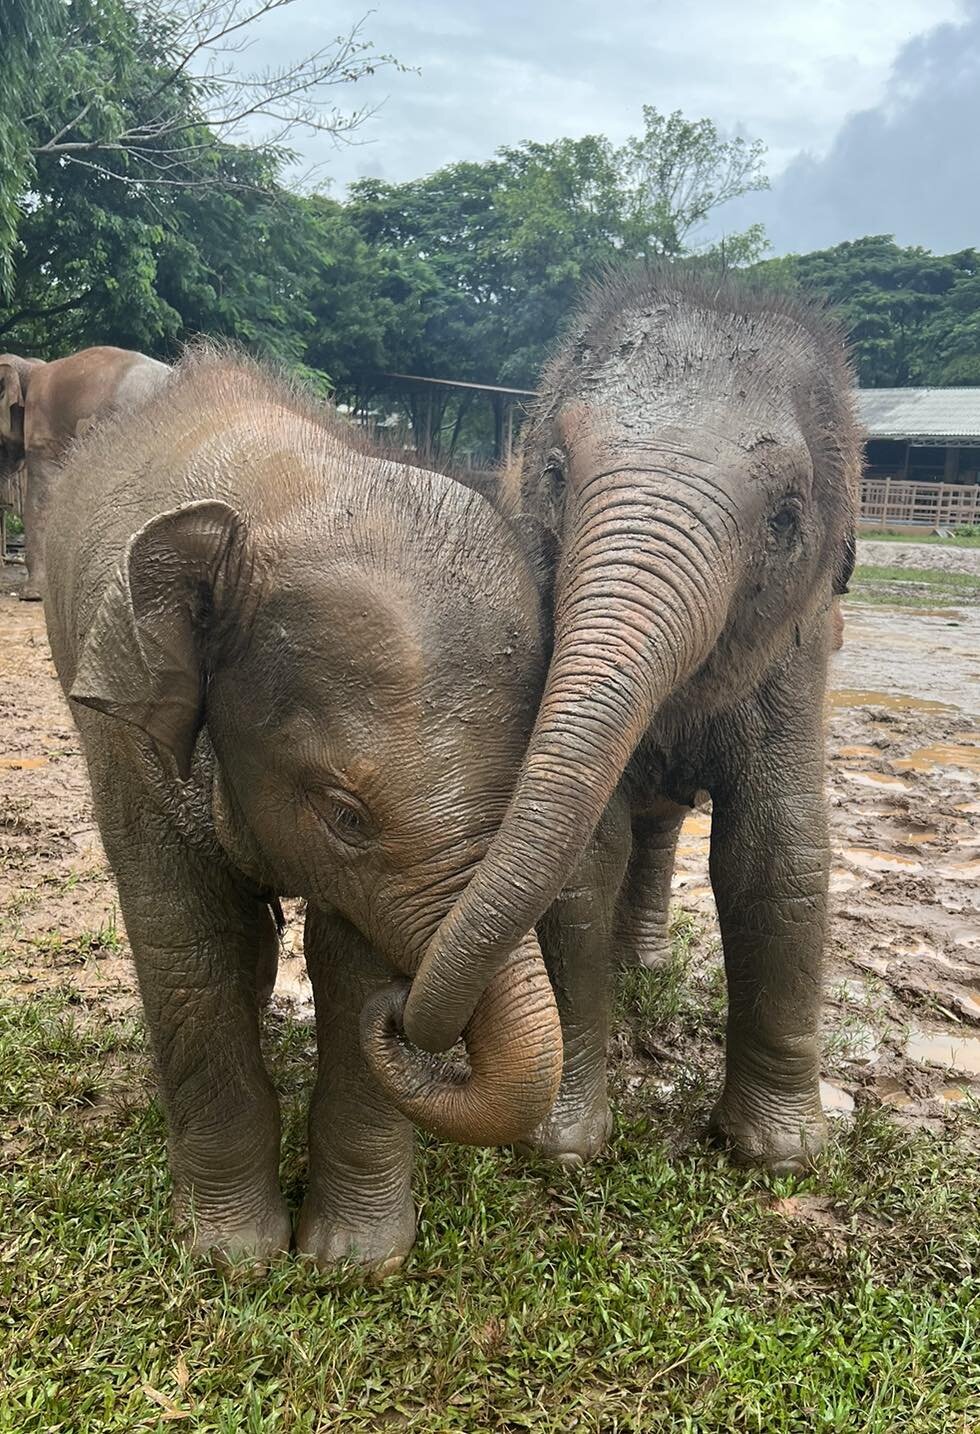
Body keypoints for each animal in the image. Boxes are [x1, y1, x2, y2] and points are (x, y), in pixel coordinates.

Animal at [42, 347, 631, 1271]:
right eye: (344, 815)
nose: (404, 1018)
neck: (288, 484)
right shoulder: (126, 740)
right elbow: (189, 943)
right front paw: (233, 1259)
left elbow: (350, 956)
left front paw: (354, 1266)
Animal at [401, 268, 862, 1175]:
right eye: (553, 471)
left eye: (786, 518)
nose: (404, 1023)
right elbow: (585, 856)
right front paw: (561, 1149)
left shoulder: (796, 663)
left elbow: (777, 853)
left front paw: (778, 1157)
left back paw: (644, 964)